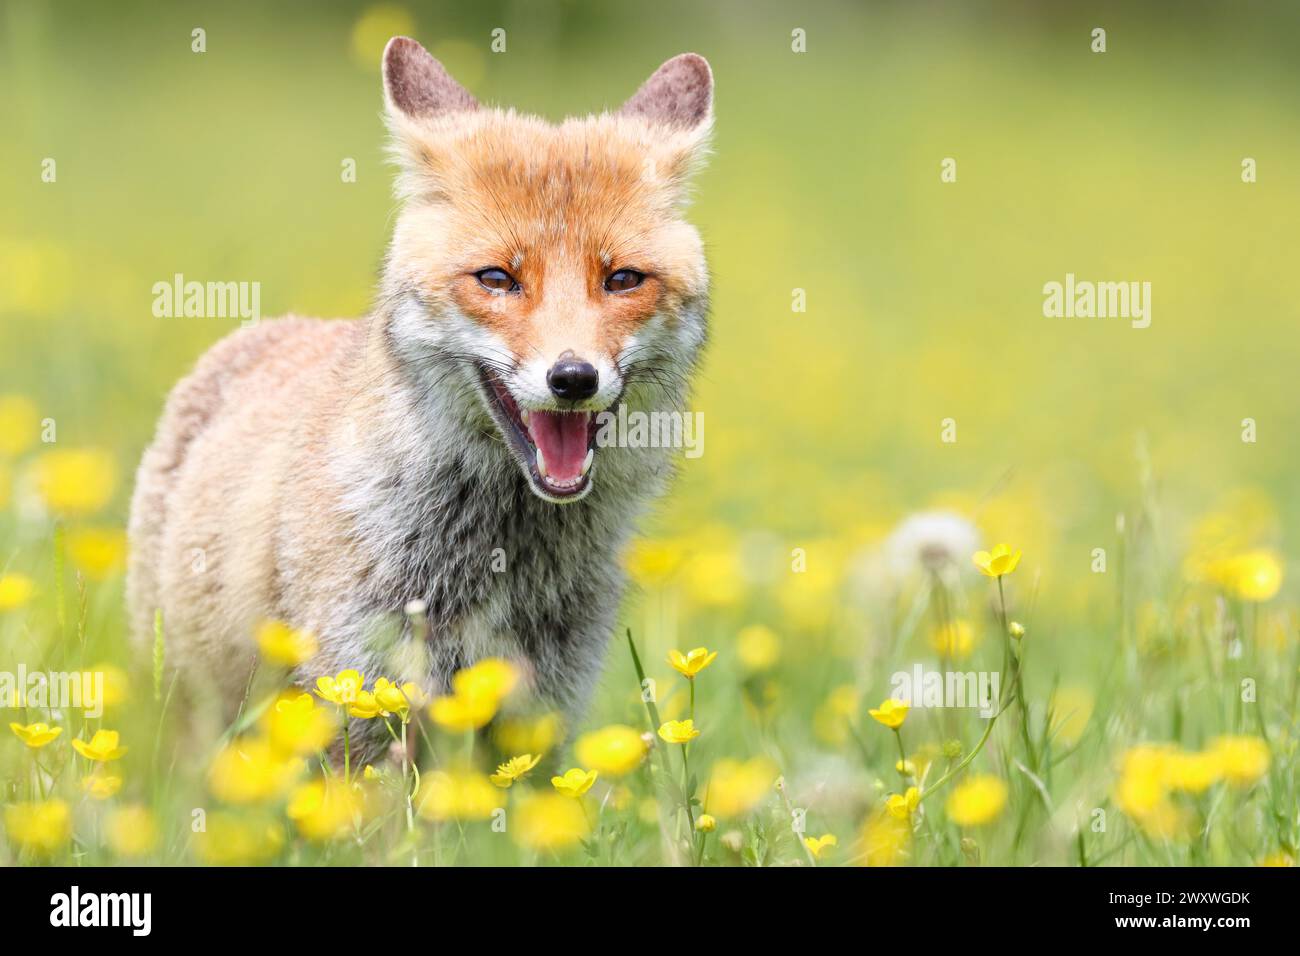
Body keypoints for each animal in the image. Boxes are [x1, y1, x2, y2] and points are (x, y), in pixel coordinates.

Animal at [126, 37, 713, 753]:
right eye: (497, 278)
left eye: (623, 279)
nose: (573, 378)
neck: (502, 552)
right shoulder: (357, 700)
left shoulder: (540, 715)